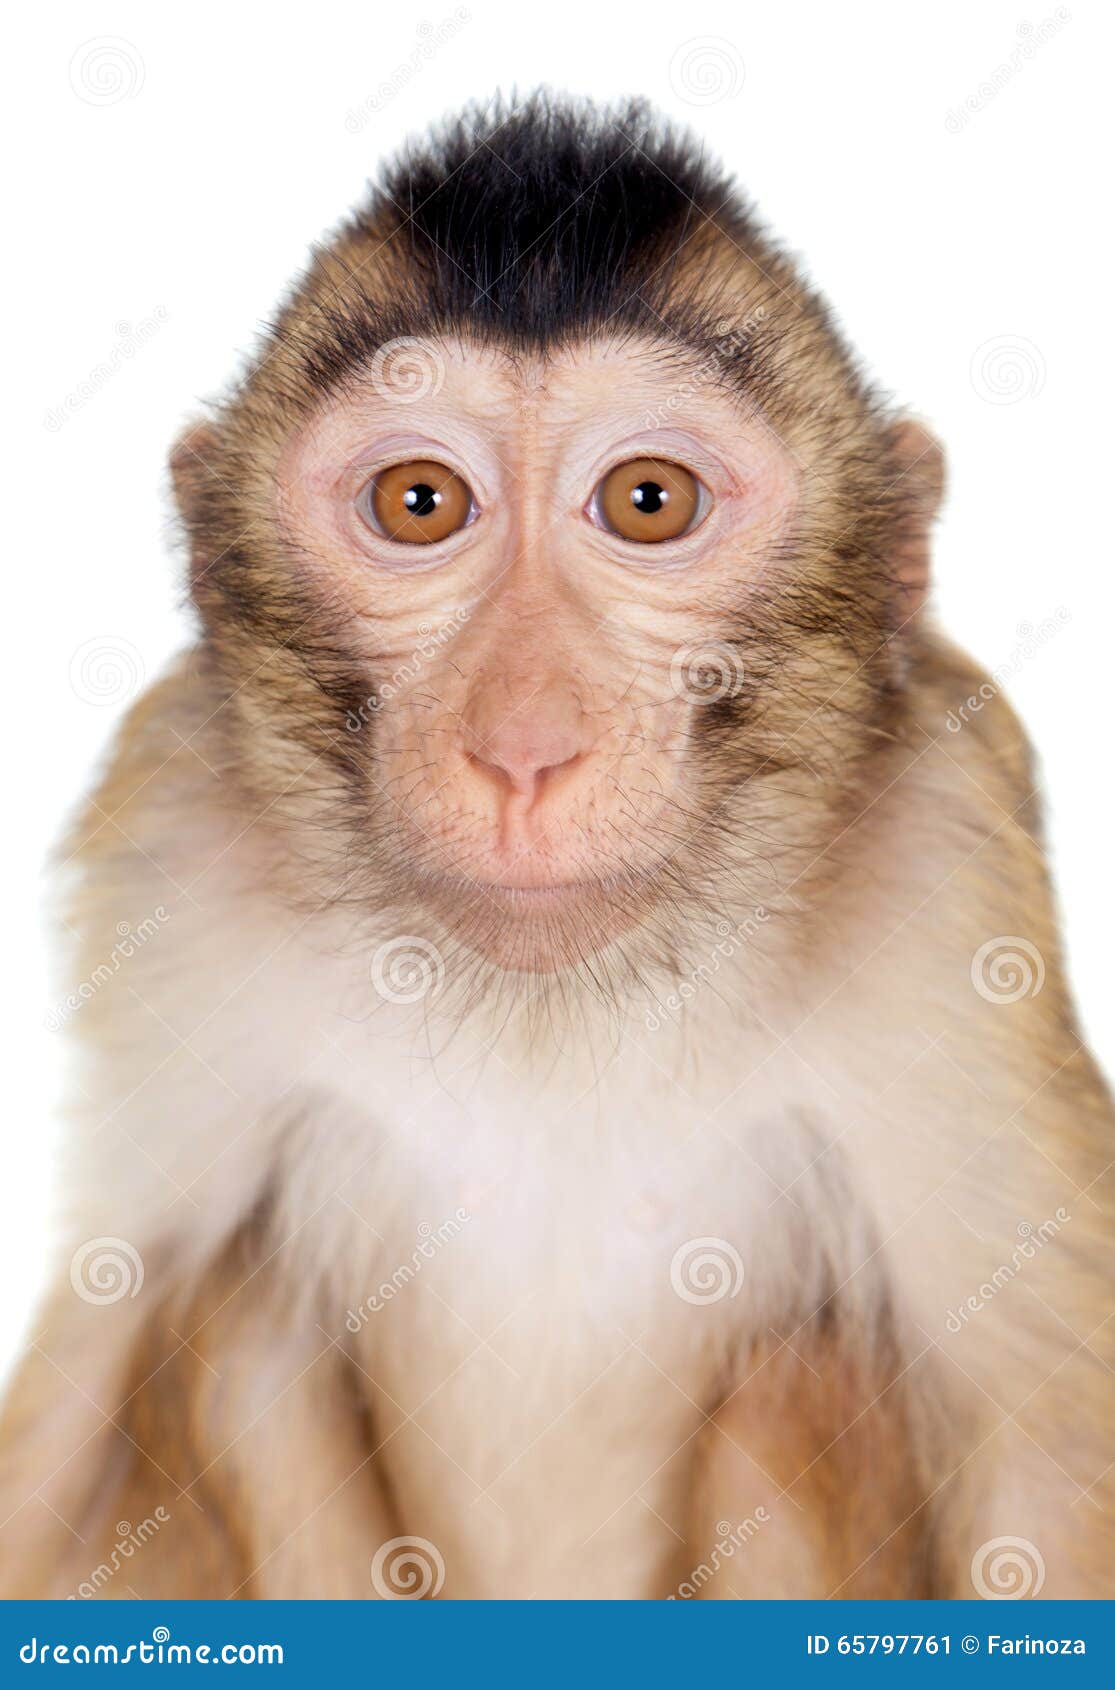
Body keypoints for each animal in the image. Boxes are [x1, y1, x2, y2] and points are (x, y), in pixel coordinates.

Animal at [1, 92, 1111, 1602]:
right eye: (418, 502)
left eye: (647, 501)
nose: (523, 746)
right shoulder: (170, 815)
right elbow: (89, 1353)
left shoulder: (952, 852)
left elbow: (1039, 1451)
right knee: (240, 1313)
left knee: (785, 1386)